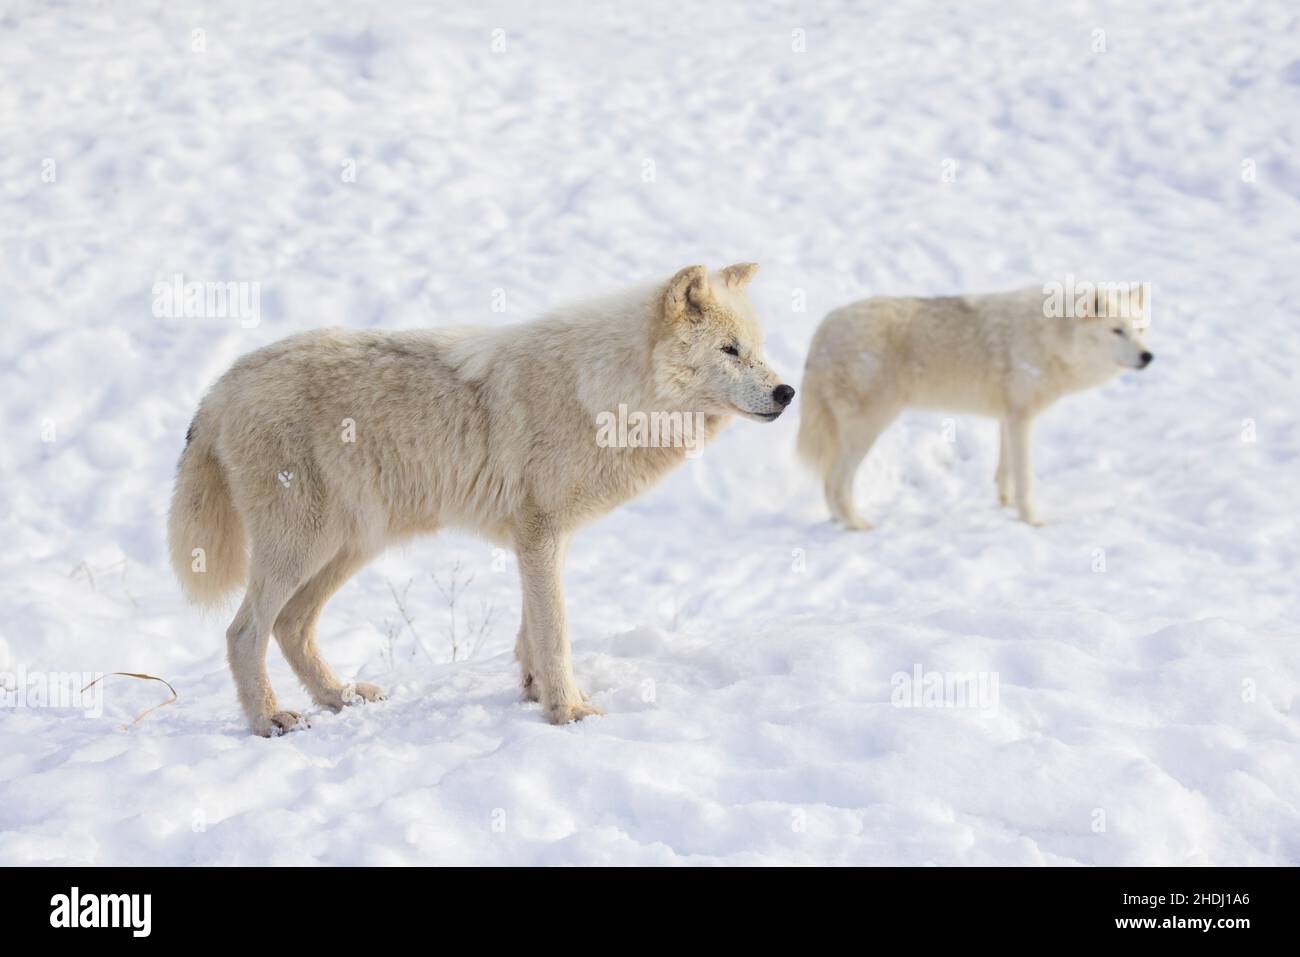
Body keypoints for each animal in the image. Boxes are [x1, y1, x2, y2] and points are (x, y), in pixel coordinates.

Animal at [169, 264, 793, 735]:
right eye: (729, 350)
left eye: (759, 349)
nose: (787, 392)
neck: (603, 393)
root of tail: (222, 384)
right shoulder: (540, 534)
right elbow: (555, 632)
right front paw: (570, 711)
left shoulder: (540, 540)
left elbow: (532, 633)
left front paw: (537, 696)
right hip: (305, 546)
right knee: (244, 632)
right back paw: (271, 721)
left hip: (349, 546)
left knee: (291, 627)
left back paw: (341, 697)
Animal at [797, 282, 1153, 528]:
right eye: (1117, 330)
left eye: (1140, 330)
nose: (1148, 356)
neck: (1051, 338)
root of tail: (821, 331)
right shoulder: (1022, 418)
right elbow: (1025, 479)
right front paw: (1032, 522)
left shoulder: (1008, 417)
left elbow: (1005, 473)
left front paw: (1005, 507)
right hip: (869, 429)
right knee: (835, 483)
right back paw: (857, 526)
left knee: (828, 482)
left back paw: (839, 523)